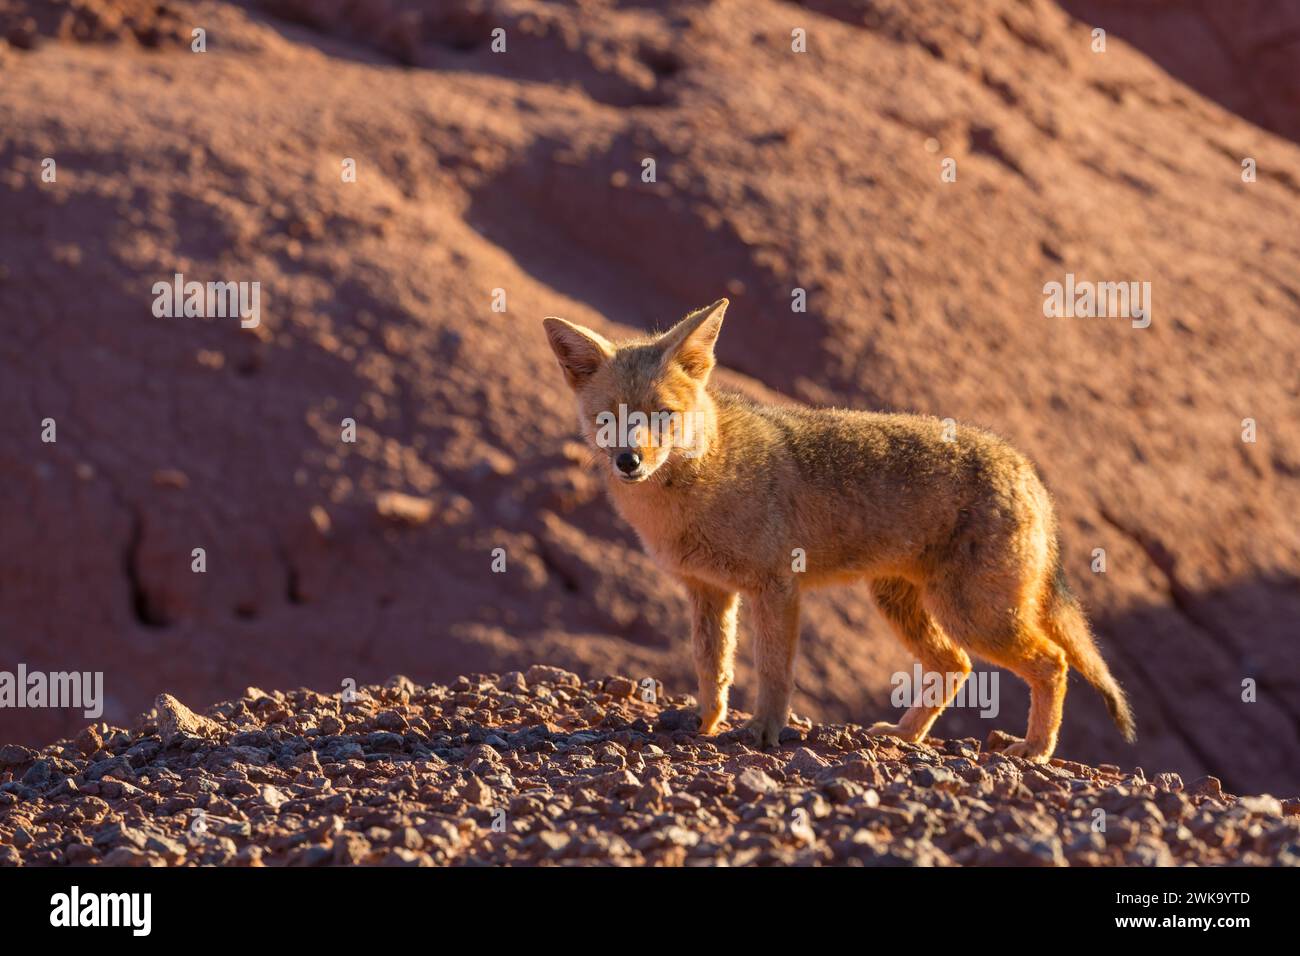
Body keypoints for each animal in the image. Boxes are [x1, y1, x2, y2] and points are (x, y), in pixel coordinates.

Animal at [542, 298, 1135, 762]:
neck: (695, 486)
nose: (629, 461)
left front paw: (765, 731)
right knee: (955, 664)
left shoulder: (776, 587)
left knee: (1052, 662)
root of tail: (1026, 467)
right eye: (608, 419)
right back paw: (905, 735)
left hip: (973, 614)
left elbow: (773, 671)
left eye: (661, 415)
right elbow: (712, 669)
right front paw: (706, 725)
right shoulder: (707, 591)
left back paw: (1035, 749)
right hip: (906, 604)